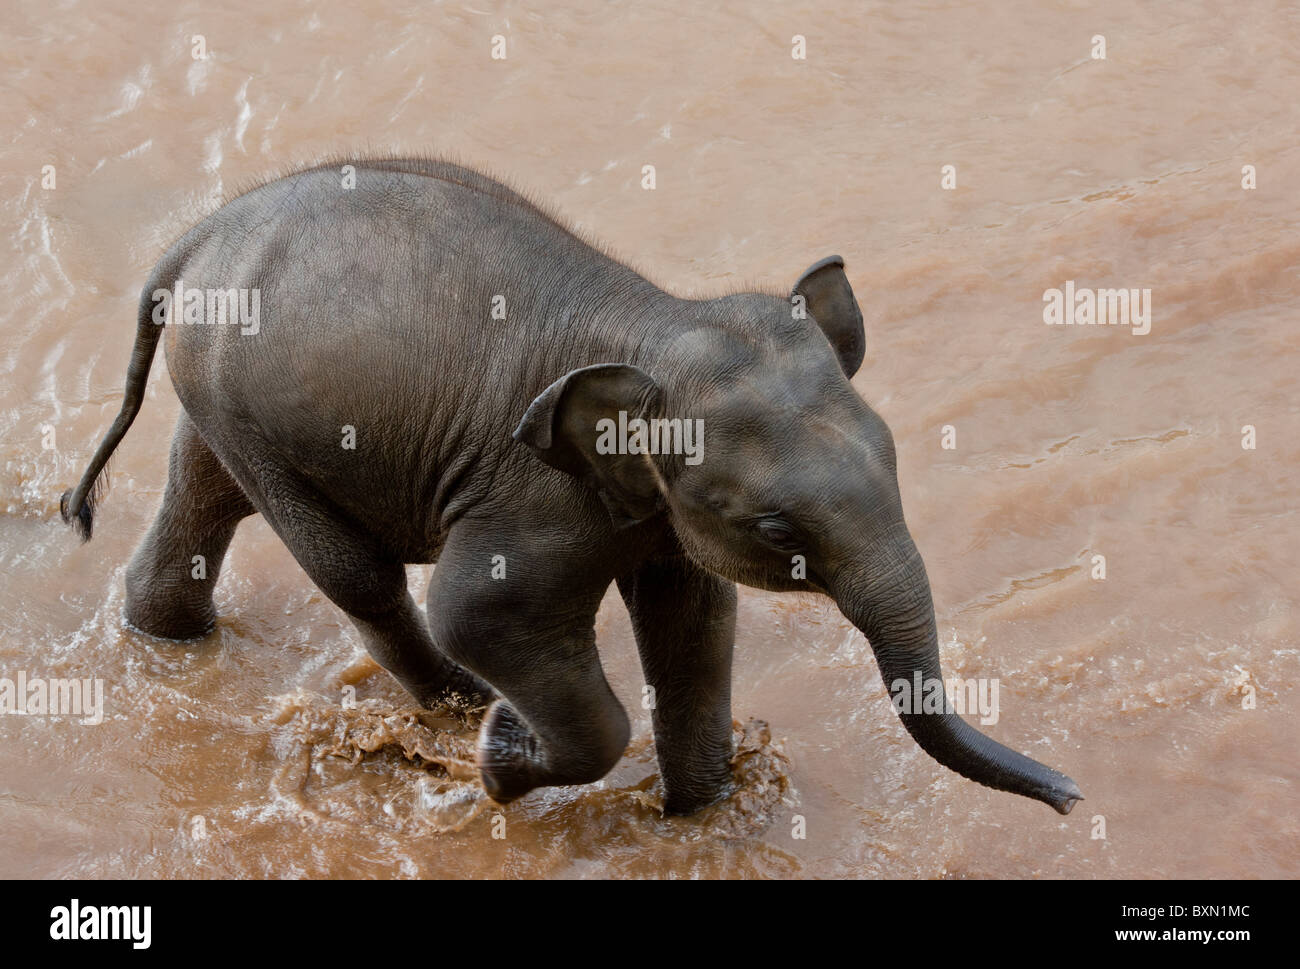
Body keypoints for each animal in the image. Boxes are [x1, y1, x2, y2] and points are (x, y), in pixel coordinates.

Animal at [61, 157, 1083, 816]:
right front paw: (499, 758)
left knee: (206, 494)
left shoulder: (657, 515)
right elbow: (478, 609)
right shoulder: (535, 493)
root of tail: (194, 238)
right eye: (779, 531)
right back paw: (456, 707)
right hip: (245, 406)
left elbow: (694, 626)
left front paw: (695, 813)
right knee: (357, 574)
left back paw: (161, 635)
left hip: (228, 397)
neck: (652, 325)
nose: (1073, 792)